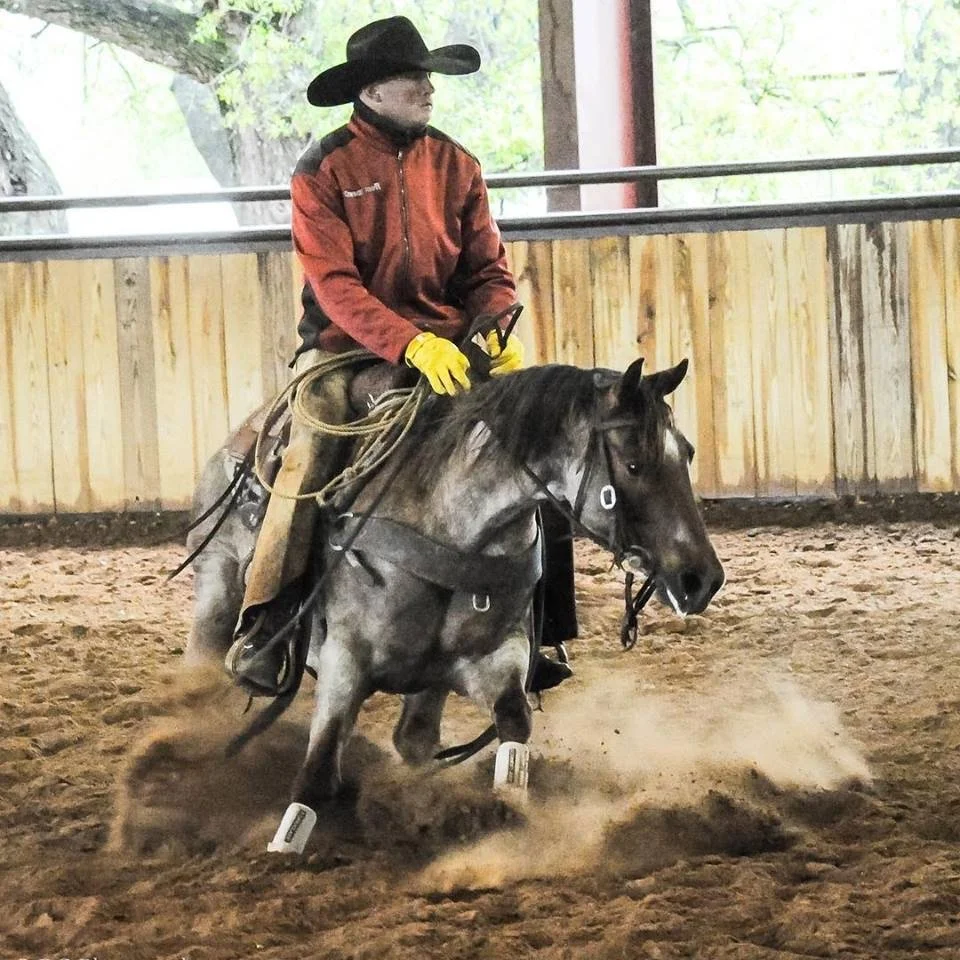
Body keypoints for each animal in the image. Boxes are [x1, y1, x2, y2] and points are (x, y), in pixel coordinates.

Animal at [183, 357, 724, 849]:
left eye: (688, 453)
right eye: (634, 465)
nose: (702, 579)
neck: (452, 529)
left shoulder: (490, 658)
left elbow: (513, 720)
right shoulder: (345, 660)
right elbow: (316, 772)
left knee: (415, 739)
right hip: (216, 589)